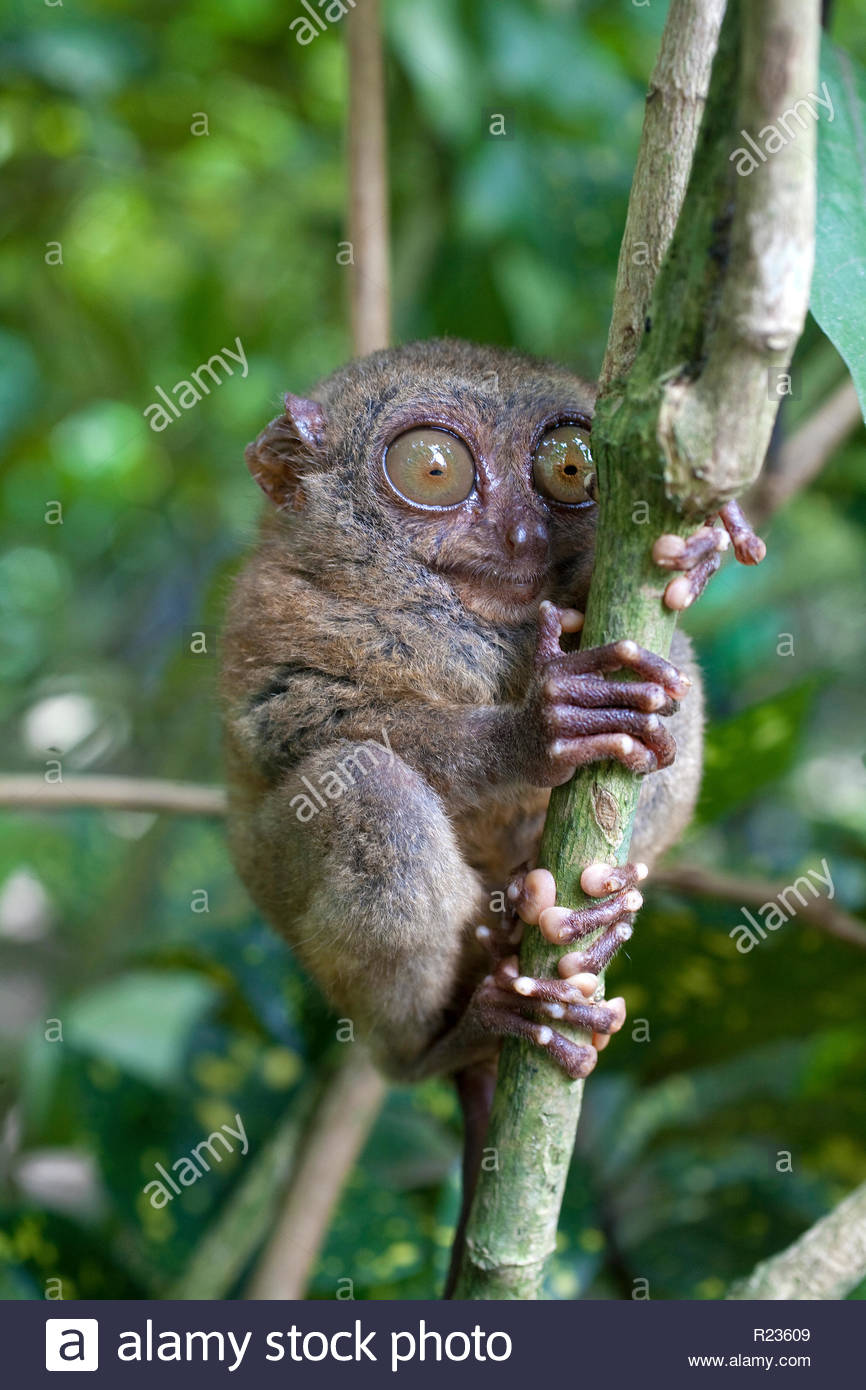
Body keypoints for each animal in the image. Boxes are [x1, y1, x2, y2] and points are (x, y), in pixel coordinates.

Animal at [219, 338, 764, 1291]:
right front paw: (541, 729)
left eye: (574, 468)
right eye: (433, 470)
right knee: (373, 791)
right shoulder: (277, 616)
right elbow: (302, 727)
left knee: (680, 680)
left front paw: (705, 540)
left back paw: (563, 919)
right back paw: (460, 1034)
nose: (519, 537)